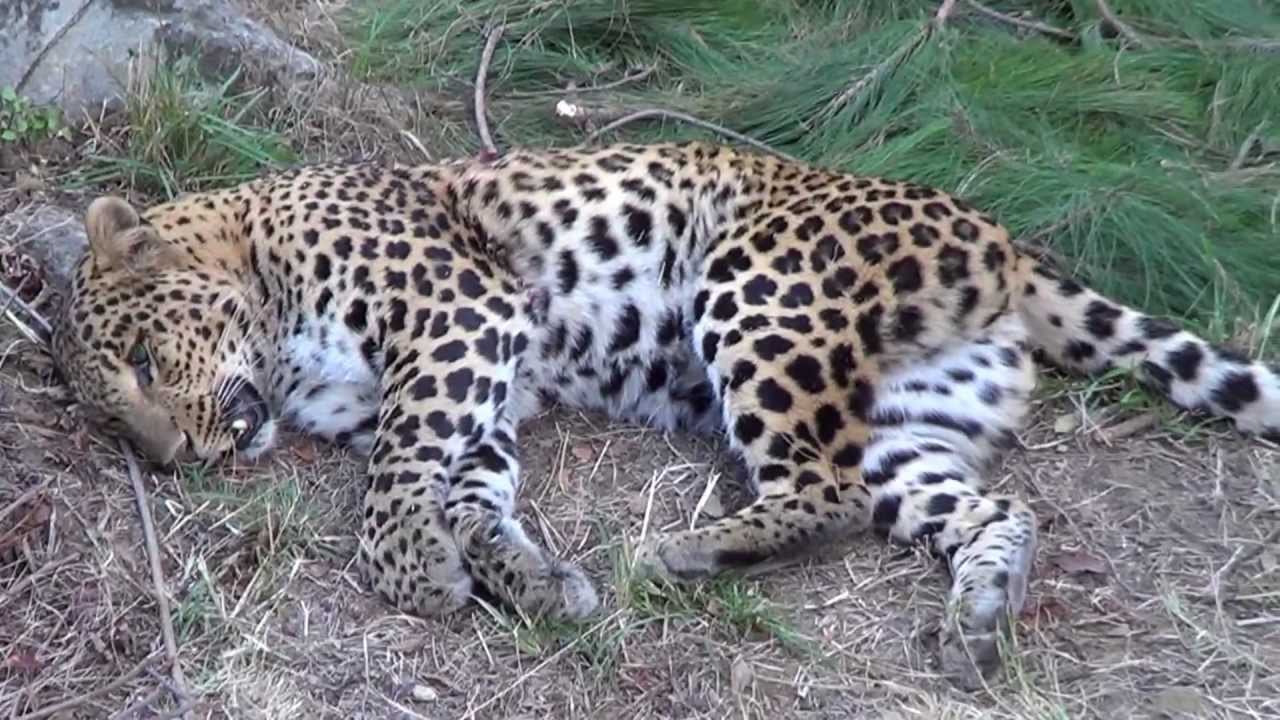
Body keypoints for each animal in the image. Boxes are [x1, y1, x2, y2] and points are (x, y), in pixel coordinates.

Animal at [49, 141, 1280, 688]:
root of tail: (1010, 248)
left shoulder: (456, 318)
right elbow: (467, 489)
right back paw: (979, 617)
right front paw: (527, 576)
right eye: (119, 424)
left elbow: (397, 473)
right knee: (982, 504)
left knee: (821, 485)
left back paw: (690, 552)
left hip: (756, 286)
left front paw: (416, 572)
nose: (183, 456)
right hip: (904, 423)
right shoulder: (485, 386)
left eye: (147, 363)